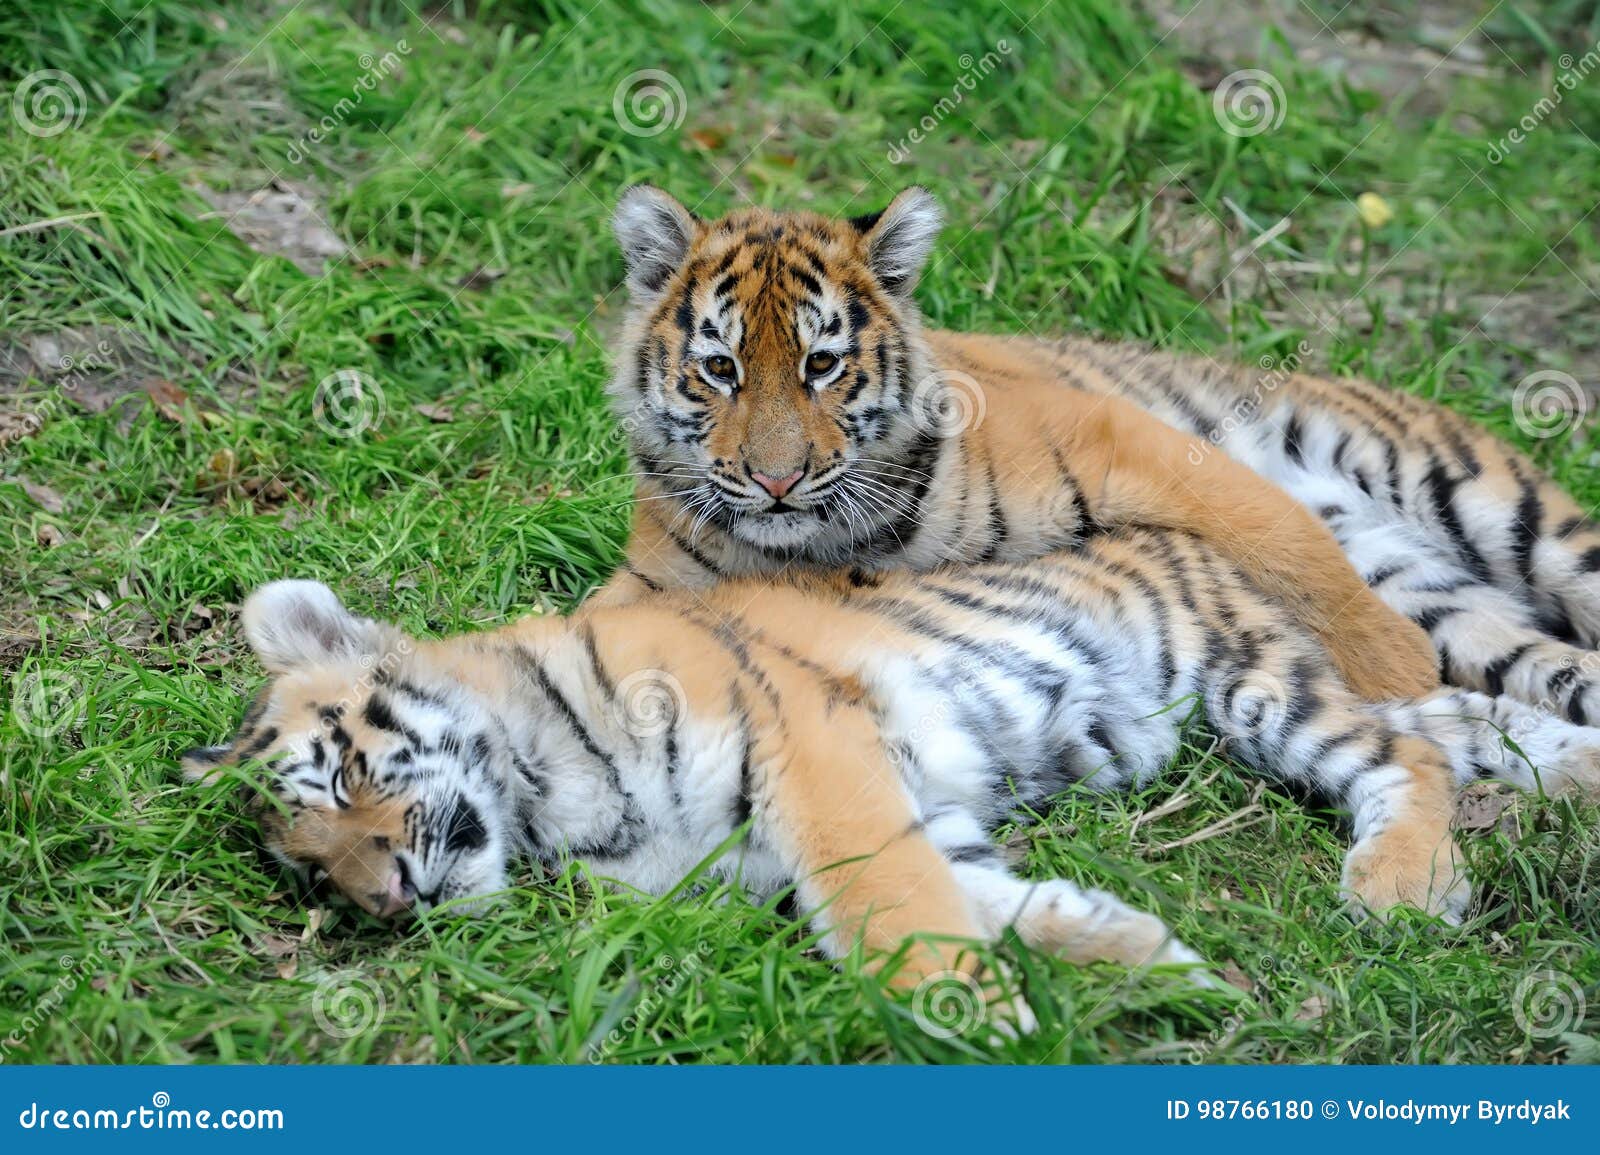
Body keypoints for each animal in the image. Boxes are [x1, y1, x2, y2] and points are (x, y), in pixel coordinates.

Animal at [184, 529, 1600, 1004]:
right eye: (308, 874)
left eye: (344, 782)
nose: (386, 899)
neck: (549, 803)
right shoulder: (848, 827)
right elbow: (983, 898)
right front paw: (1152, 961)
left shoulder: (815, 753)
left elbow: (882, 911)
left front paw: (968, 1022)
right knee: (1461, 724)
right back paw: (1567, 775)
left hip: (1249, 683)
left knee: (1400, 754)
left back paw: (1402, 889)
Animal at [601, 186, 1600, 724]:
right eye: (721, 369)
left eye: (822, 364)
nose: (777, 479)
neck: (822, 539)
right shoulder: (655, 580)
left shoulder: (1125, 440)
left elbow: (1283, 535)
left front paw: (1393, 670)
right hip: (1452, 597)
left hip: (1495, 505)